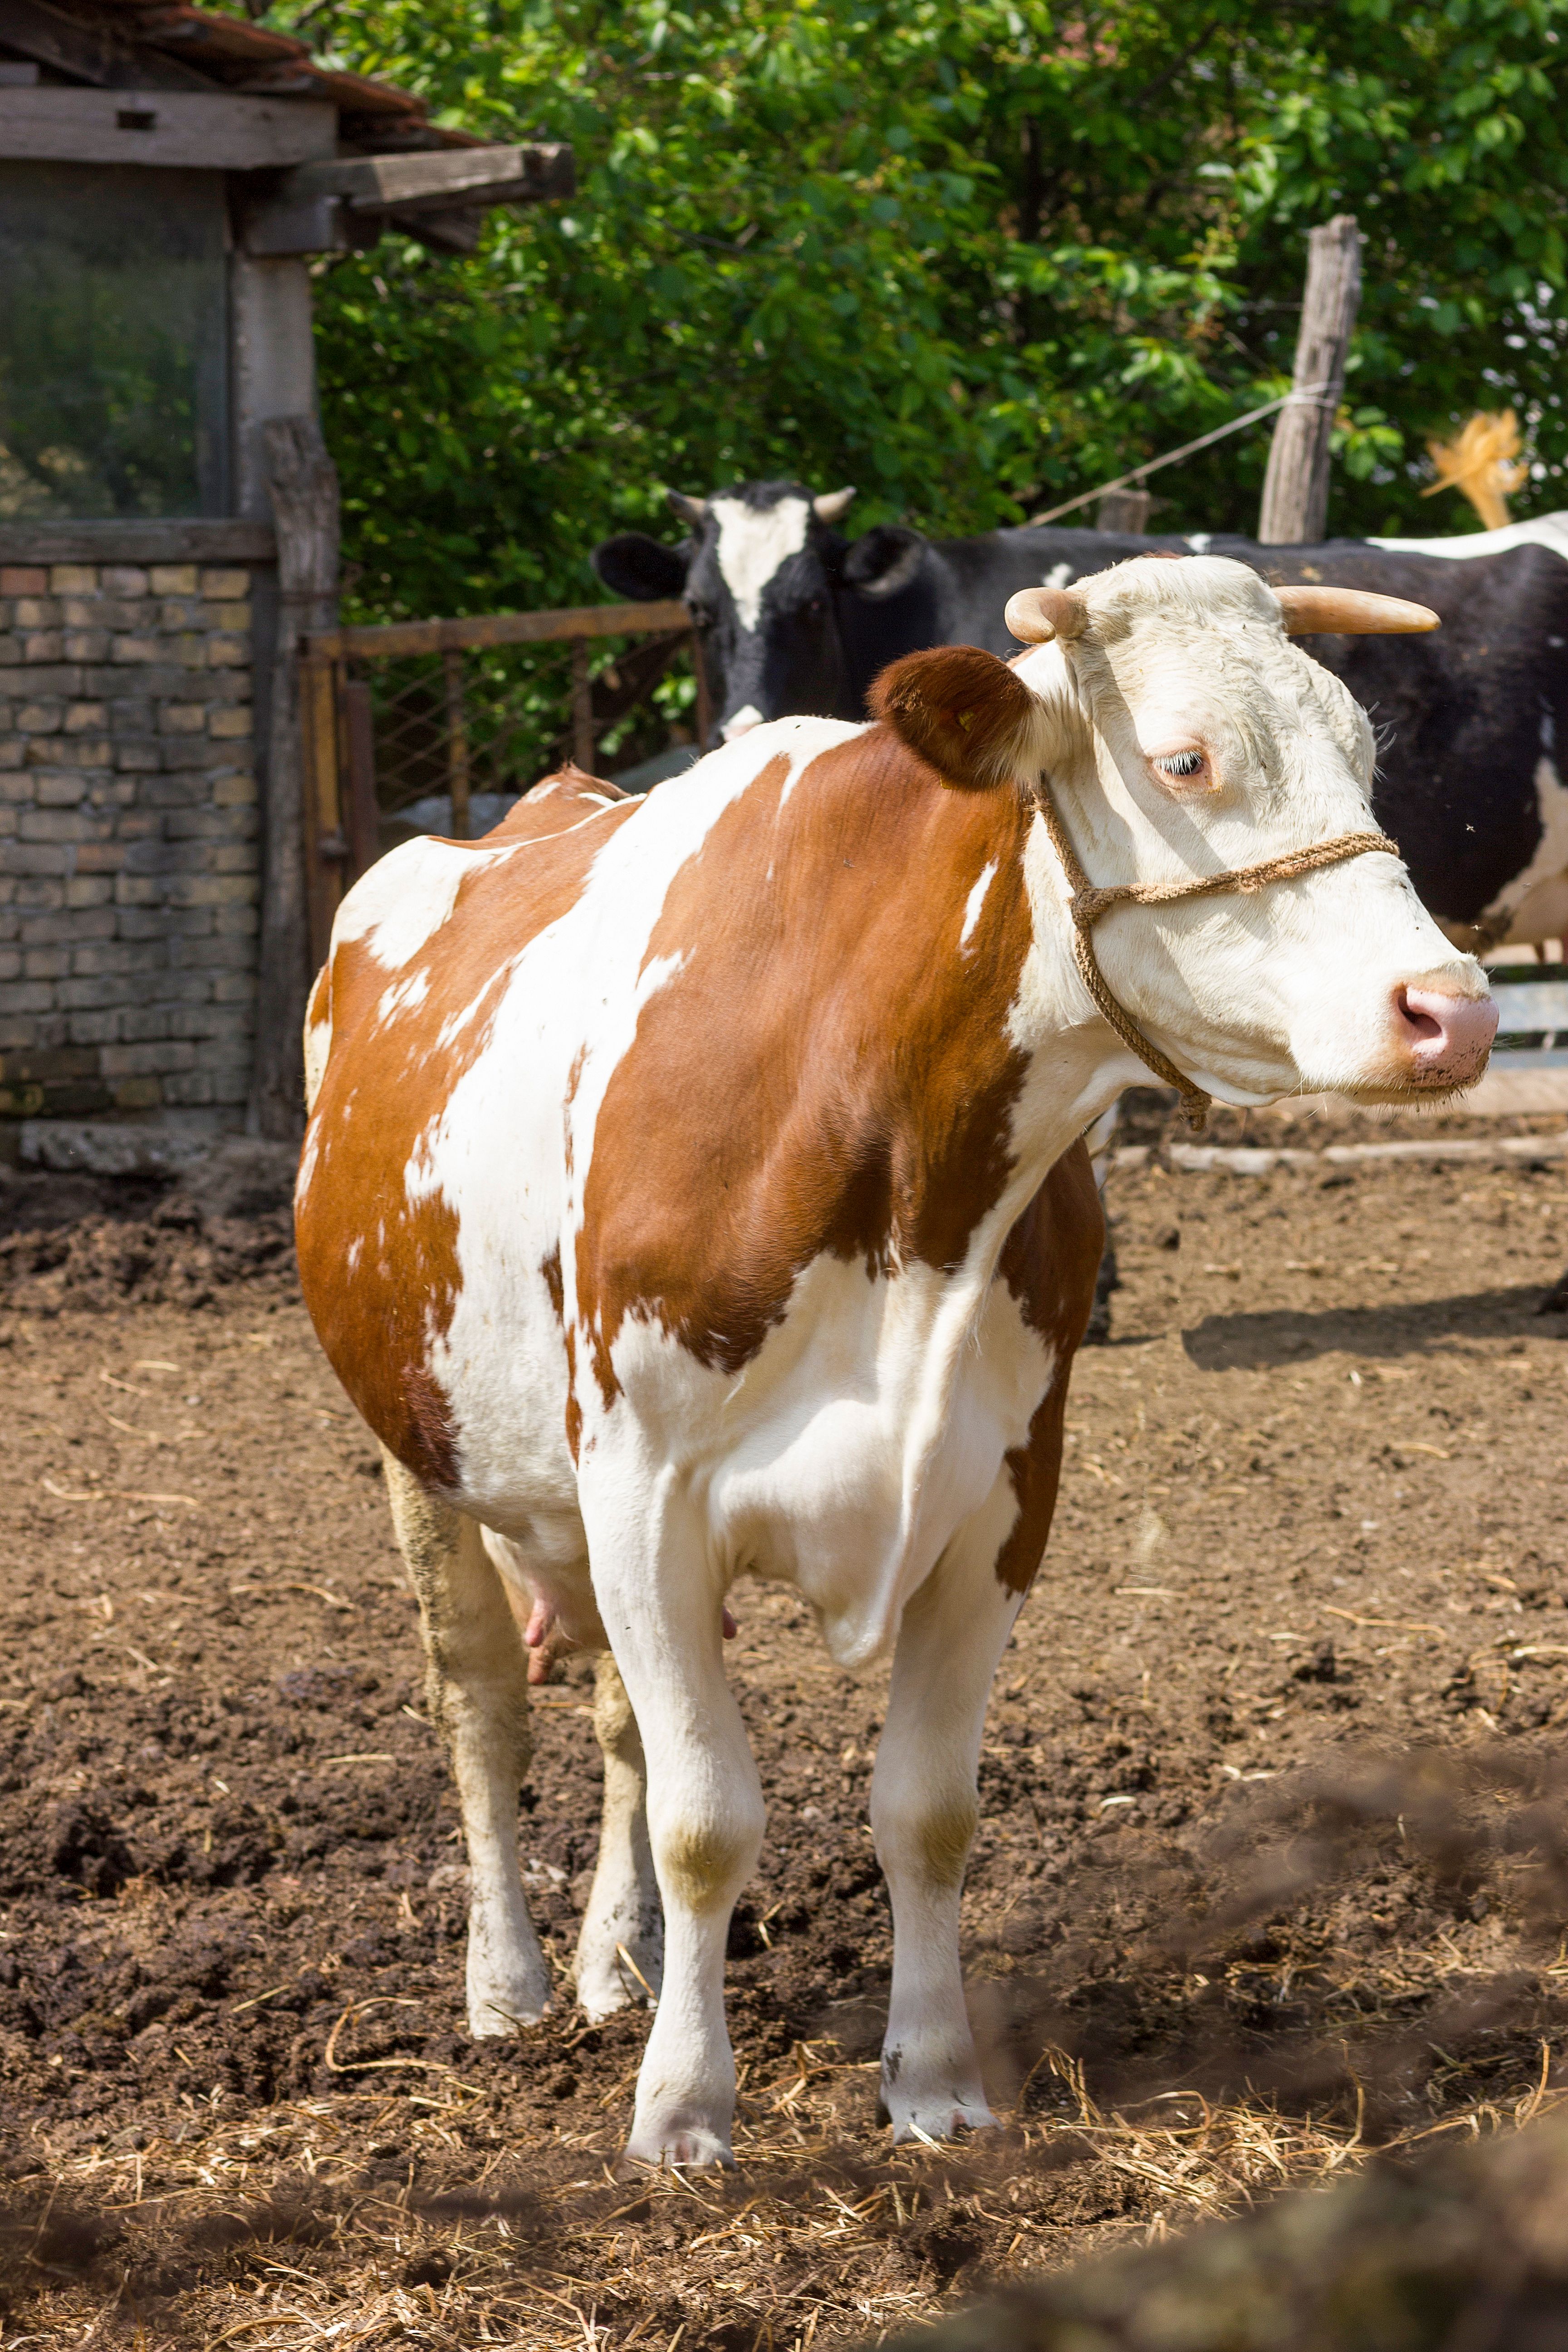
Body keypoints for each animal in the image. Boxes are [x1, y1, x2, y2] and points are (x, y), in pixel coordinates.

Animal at [296, 555, 1496, 2167]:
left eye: (1365, 753)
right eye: (1184, 761)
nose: (1458, 1010)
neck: (901, 1165)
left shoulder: (1003, 1501)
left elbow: (924, 1809)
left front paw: (933, 2081)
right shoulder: (646, 1490)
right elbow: (706, 1818)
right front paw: (684, 2109)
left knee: (611, 1723)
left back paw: (615, 1966)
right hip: (416, 1444)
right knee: (481, 1705)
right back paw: (513, 1987)